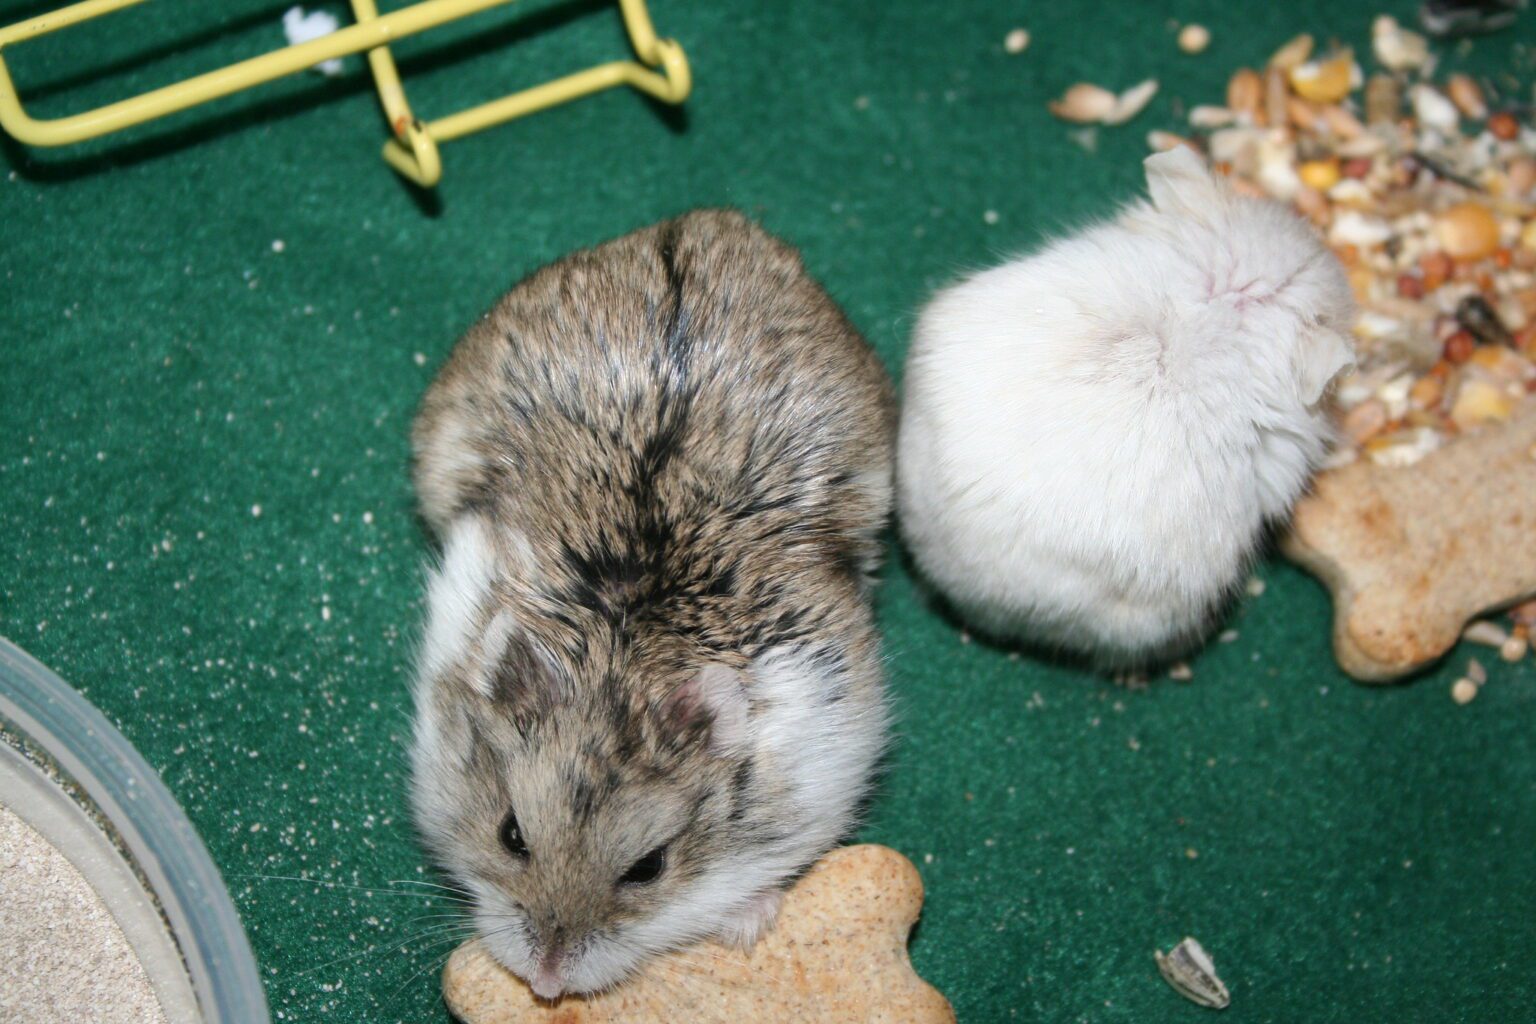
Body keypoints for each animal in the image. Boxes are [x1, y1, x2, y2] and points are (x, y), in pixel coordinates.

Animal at [409, 210, 896, 1000]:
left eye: (649, 869)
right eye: (511, 834)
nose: (546, 982)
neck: (624, 658)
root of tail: (702, 223)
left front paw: (748, 923)